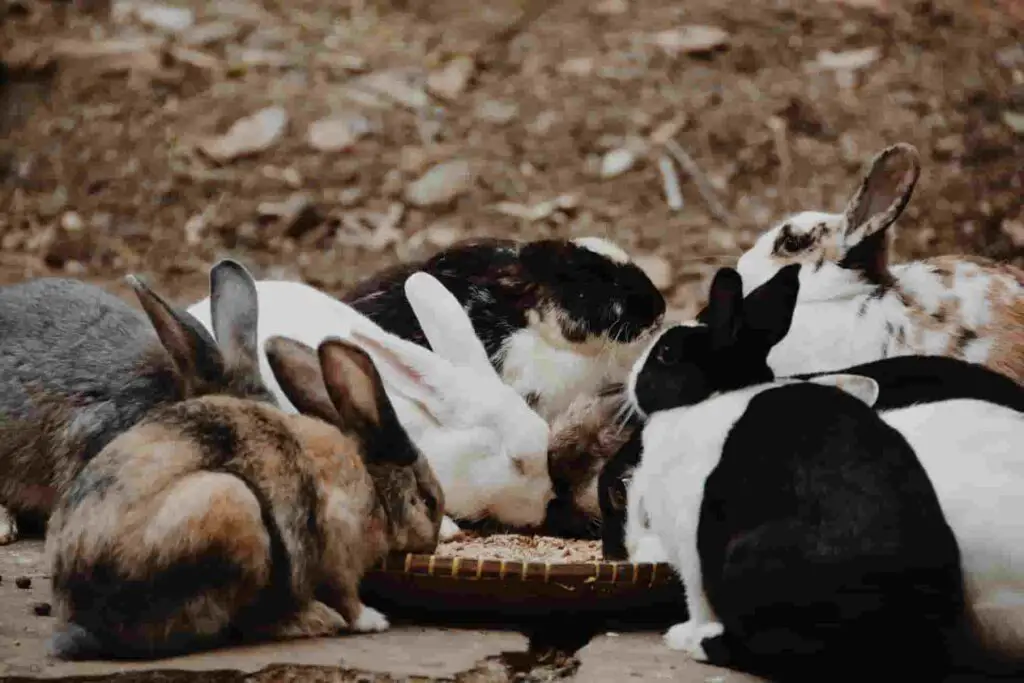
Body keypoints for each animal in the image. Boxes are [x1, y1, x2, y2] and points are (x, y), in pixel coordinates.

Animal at [47, 335, 444, 661]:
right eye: (427, 500)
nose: (434, 540)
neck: (371, 482)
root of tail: (84, 611)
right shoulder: (338, 545)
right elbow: (347, 595)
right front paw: (373, 620)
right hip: (232, 509)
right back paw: (316, 619)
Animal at [621, 266, 967, 682]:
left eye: (667, 354)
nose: (629, 380)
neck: (709, 397)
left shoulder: (690, 544)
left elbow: (697, 598)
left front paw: (685, 632)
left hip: (748, 563)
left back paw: (697, 643)